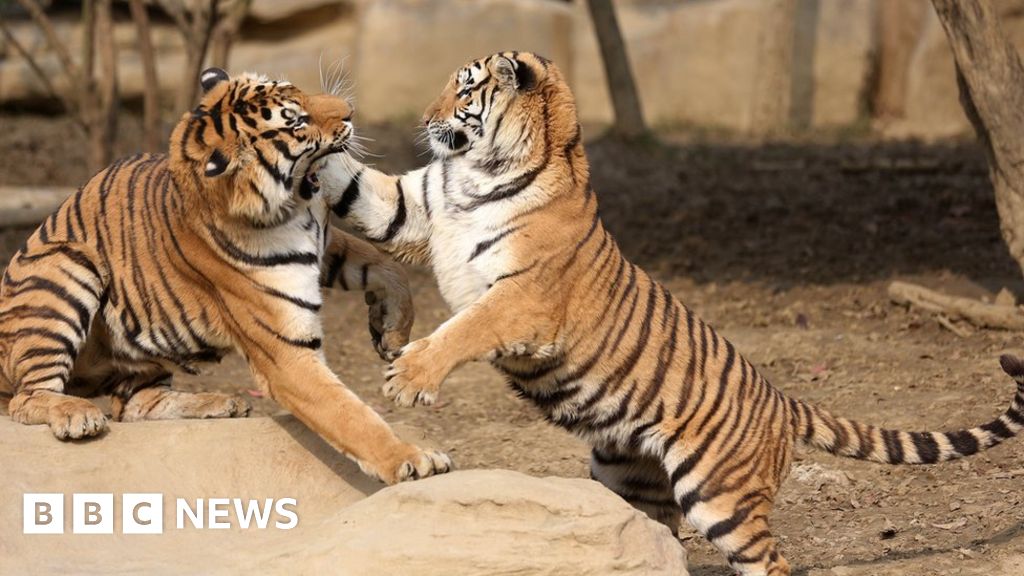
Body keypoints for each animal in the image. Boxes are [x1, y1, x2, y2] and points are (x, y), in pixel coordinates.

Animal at [0, 67, 451, 485]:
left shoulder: (325, 243)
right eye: (296, 121)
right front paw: (411, 459)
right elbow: (349, 415)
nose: (350, 111)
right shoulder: (285, 353)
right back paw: (77, 415)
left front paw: (392, 331)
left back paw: (219, 403)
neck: (292, 207)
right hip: (69, 266)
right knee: (27, 398)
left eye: (297, 89)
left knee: (136, 404)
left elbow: (385, 266)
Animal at [317, 51, 1024, 574]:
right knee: (651, 539)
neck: (477, 170)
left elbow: (464, 328)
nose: (423, 117)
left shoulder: (523, 300)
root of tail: (781, 399)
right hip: (626, 473)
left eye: (464, 89)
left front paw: (409, 378)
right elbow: (350, 183)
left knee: (768, 560)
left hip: (721, 496)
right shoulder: (411, 206)